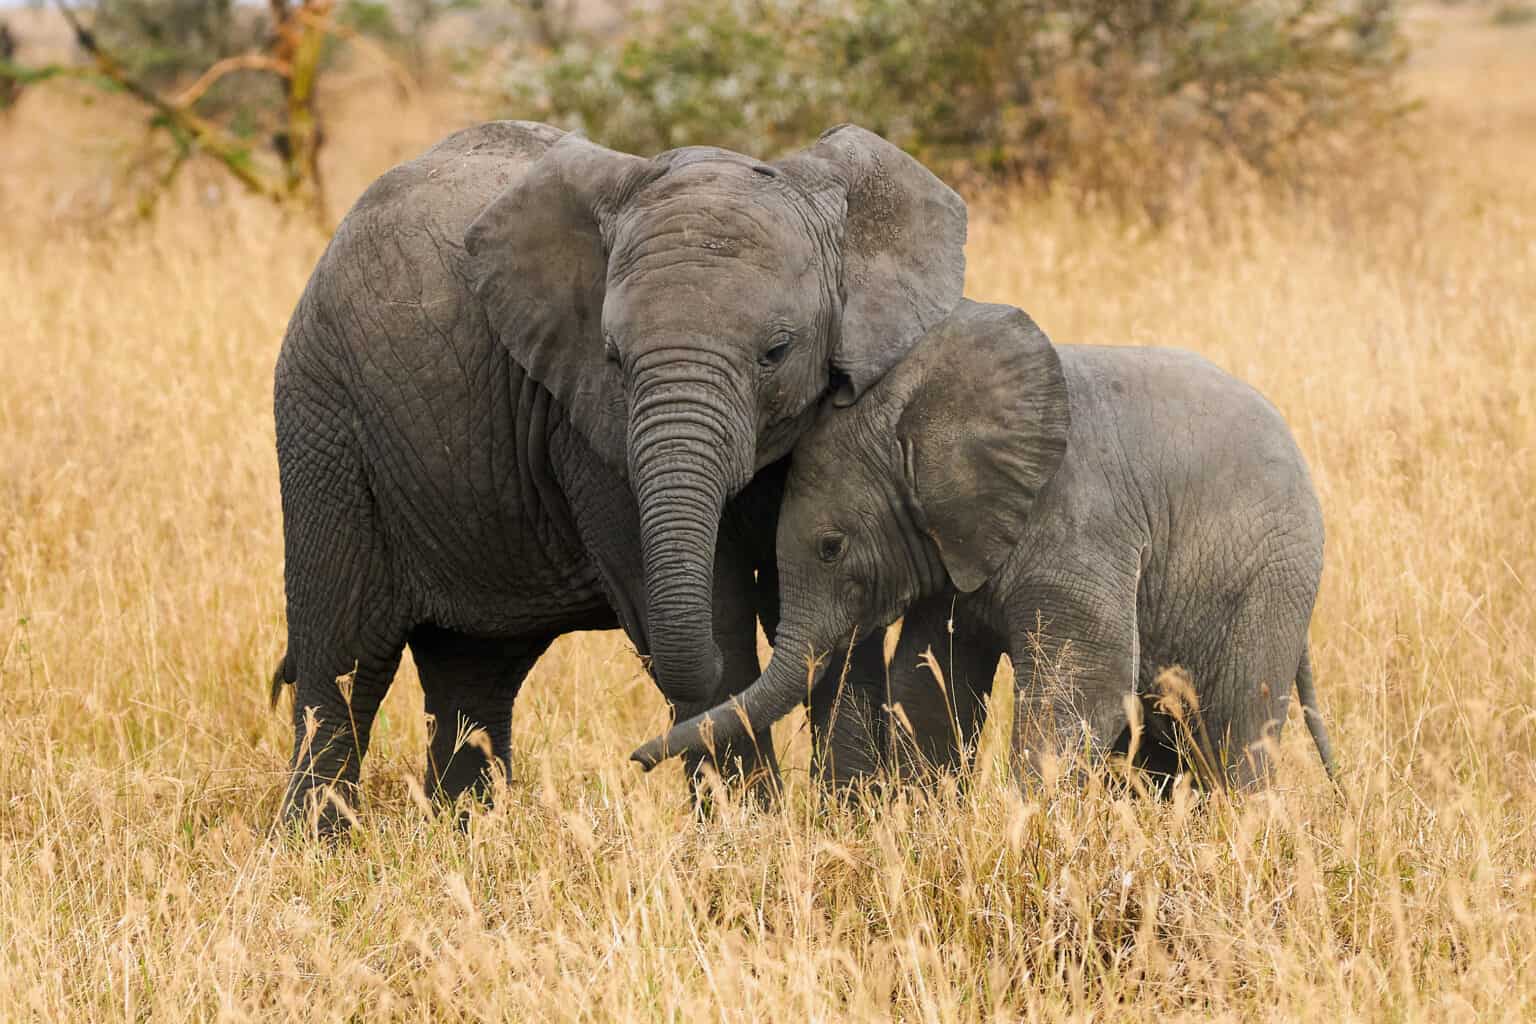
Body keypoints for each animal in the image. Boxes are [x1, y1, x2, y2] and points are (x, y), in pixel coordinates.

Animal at [269, 120, 967, 830]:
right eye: (613, 357)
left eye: (777, 351)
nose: (636, 760)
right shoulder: (586, 427)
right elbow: (719, 612)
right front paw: (749, 832)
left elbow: (835, 606)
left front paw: (856, 823)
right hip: (324, 424)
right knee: (345, 661)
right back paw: (318, 843)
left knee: (473, 674)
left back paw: (467, 831)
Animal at [633, 299, 1337, 790]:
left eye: (831, 547)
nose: (636, 760)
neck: (922, 411)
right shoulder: (953, 547)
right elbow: (928, 682)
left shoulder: (1078, 523)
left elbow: (1086, 689)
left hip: (1271, 579)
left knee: (1235, 729)